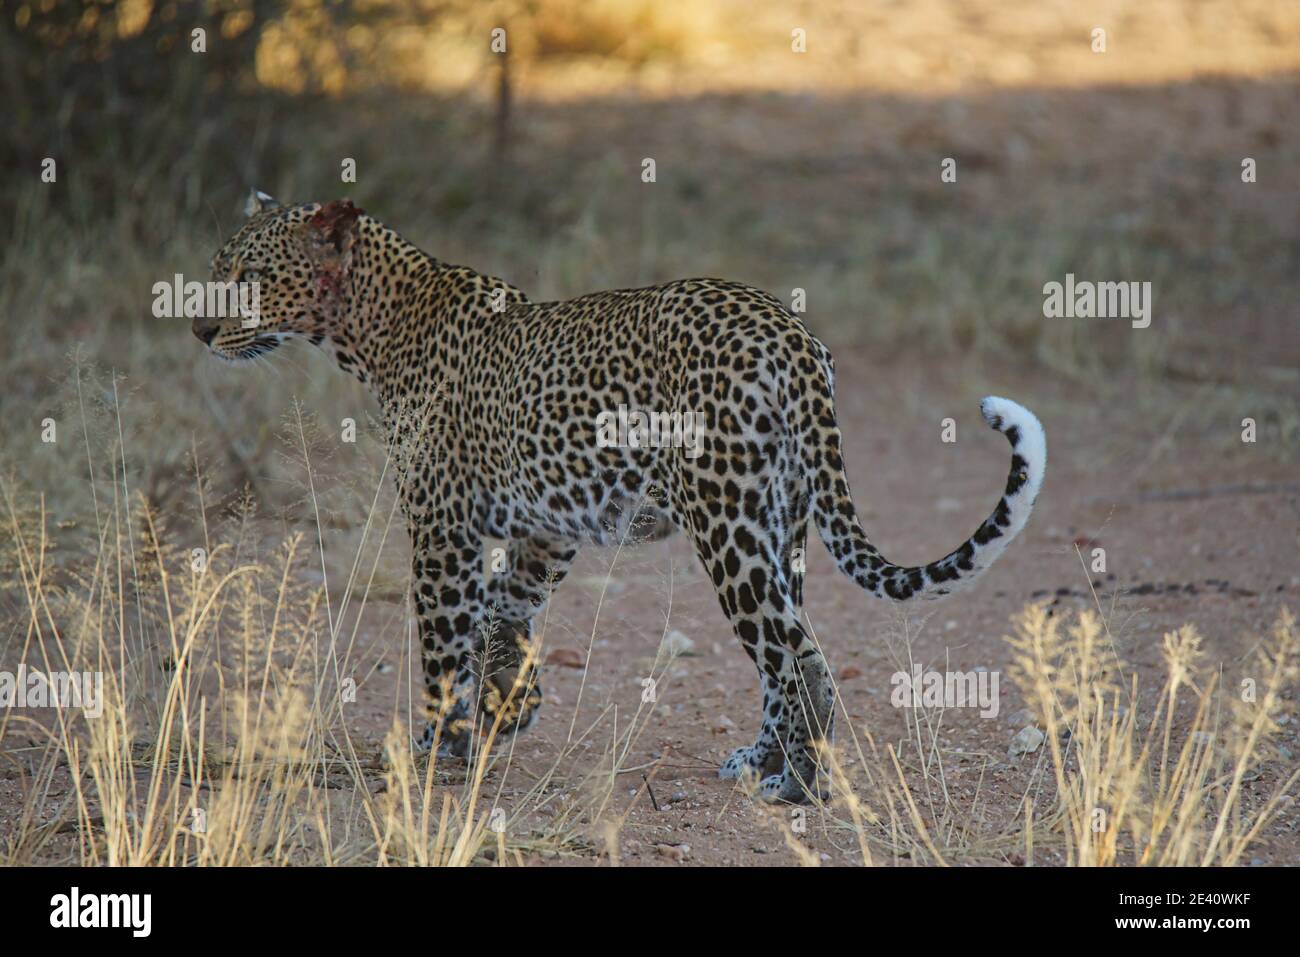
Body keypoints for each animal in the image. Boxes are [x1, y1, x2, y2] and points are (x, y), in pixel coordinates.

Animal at [193, 190, 1047, 804]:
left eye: (248, 279)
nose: (199, 329)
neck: (371, 325)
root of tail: (791, 334)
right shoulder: (543, 529)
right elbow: (503, 610)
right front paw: (512, 701)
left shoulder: (442, 527)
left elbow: (442, 643)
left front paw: (437, 752)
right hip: (783, 524)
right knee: (783, 651)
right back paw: (758, 759)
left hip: (727, 524)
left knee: (799, 655)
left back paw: (796, 785)